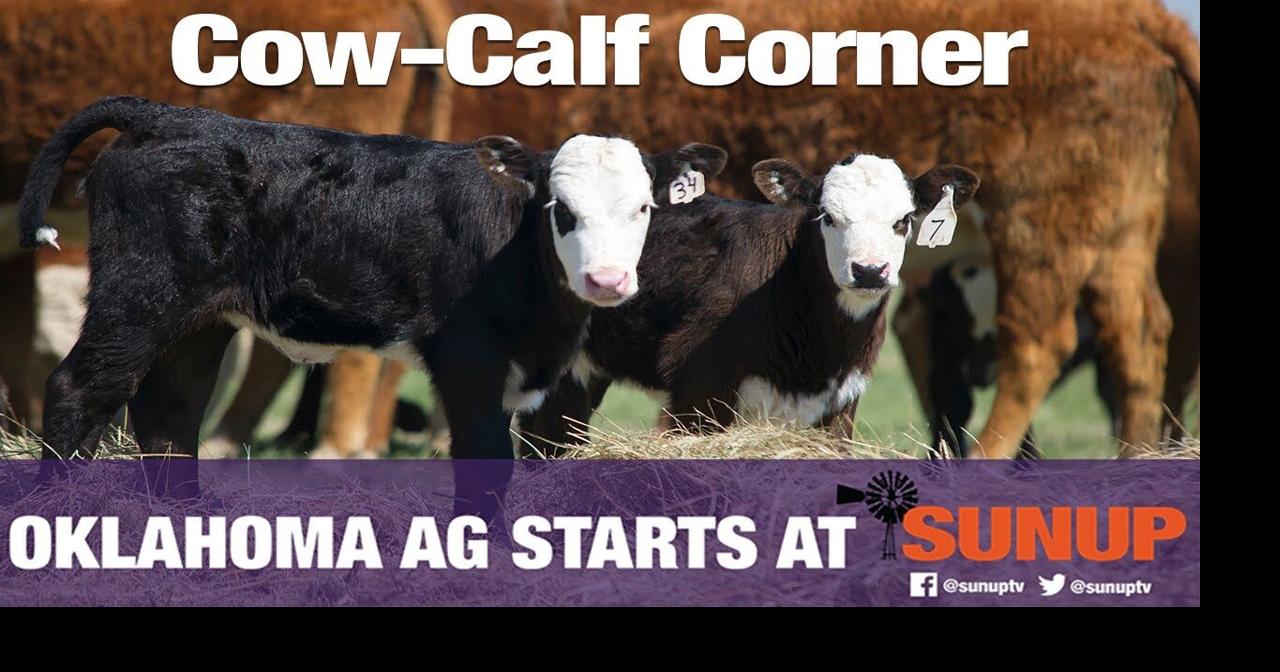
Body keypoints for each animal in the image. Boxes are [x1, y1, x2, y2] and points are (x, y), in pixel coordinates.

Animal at [17, 96, 713, 512]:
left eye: (644, 207)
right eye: (559, 209)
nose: (607, 279)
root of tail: (164, 116)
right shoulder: (466, 355)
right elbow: (486, 457)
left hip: (199, 322)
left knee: (169, 414)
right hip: (138, 299)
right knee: (78, 390)